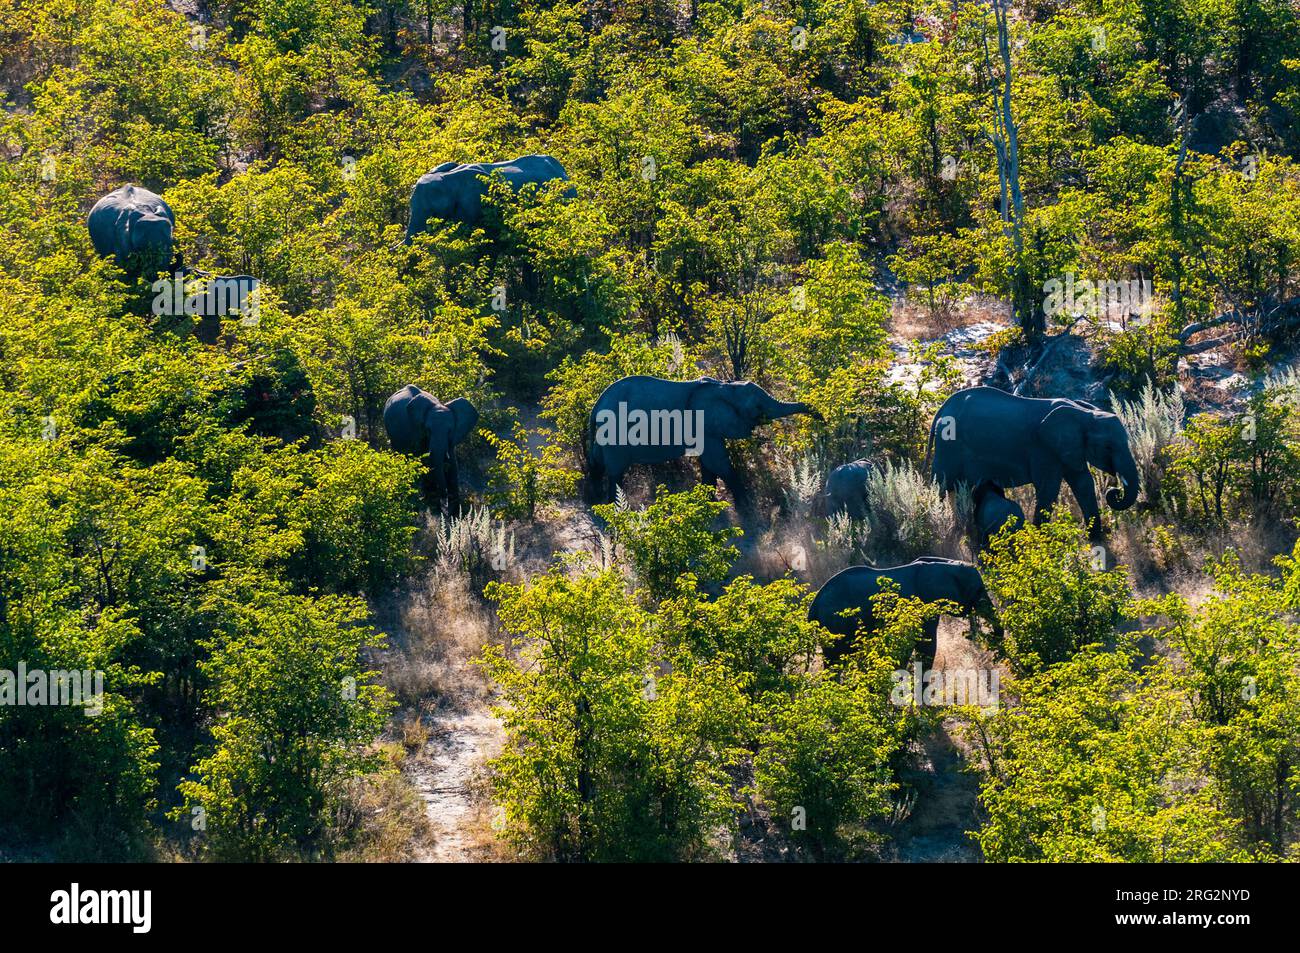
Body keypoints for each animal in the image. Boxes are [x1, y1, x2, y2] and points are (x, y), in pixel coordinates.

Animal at [586, 376, 821, 504]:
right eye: (758, 407)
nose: (822, 418)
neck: (723, 386)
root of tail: (596, 406)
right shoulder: (705, 425)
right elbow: (719, 464)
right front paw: (746, 509)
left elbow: (709, 466)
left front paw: (707, 504)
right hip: (615, 434)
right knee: (615, 472)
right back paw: (615, 509)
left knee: (597, 463)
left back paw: (597, 500)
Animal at [809, 557, 994, 667]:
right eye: (978, 590)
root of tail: (815, 604)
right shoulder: (923, 603)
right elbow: (926, 644)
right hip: (835, 624)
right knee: (835, 659)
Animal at [929, 386, 1139, 541]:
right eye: (1109, 447)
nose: (1114, 492)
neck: (1084, 413)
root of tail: (941, 409)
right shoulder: (1043, 448)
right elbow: (1049, 488)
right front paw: (1041, 539)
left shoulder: (1069, 448)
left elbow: (1084, 484)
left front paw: (1095, 539)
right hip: (948, 445)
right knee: (940, 486)